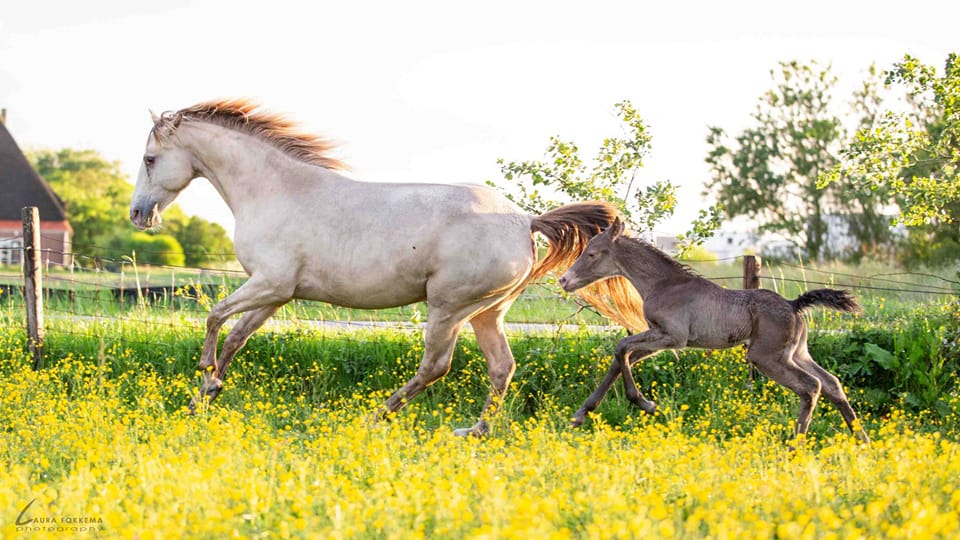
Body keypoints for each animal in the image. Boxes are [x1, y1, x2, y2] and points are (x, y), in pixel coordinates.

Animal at [129, 99, 646, 436]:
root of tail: (525, 219)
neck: (275, 189)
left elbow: (214, 316)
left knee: (436, 366)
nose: (138, 214)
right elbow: (236, 336)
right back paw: (474, 430)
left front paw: (204, 373)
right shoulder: (277, 293)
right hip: (487, 312)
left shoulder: (269, 284)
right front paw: (203, 396)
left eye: (150, 159)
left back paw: (377, 415)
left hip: (448, 307)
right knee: (502, 367)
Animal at [558, 217, 870, 443]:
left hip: (766, 357)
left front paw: (646, 404)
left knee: (811, 387)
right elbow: (620, 360)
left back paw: (796, 445)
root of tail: (794, 305)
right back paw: (862, 441)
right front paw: (579, 416)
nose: (564, 280)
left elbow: (621, 348)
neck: (664, 283)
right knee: (831, 383)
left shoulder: (672, 337)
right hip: (797, 353)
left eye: (592, 253)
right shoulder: (659, 338)